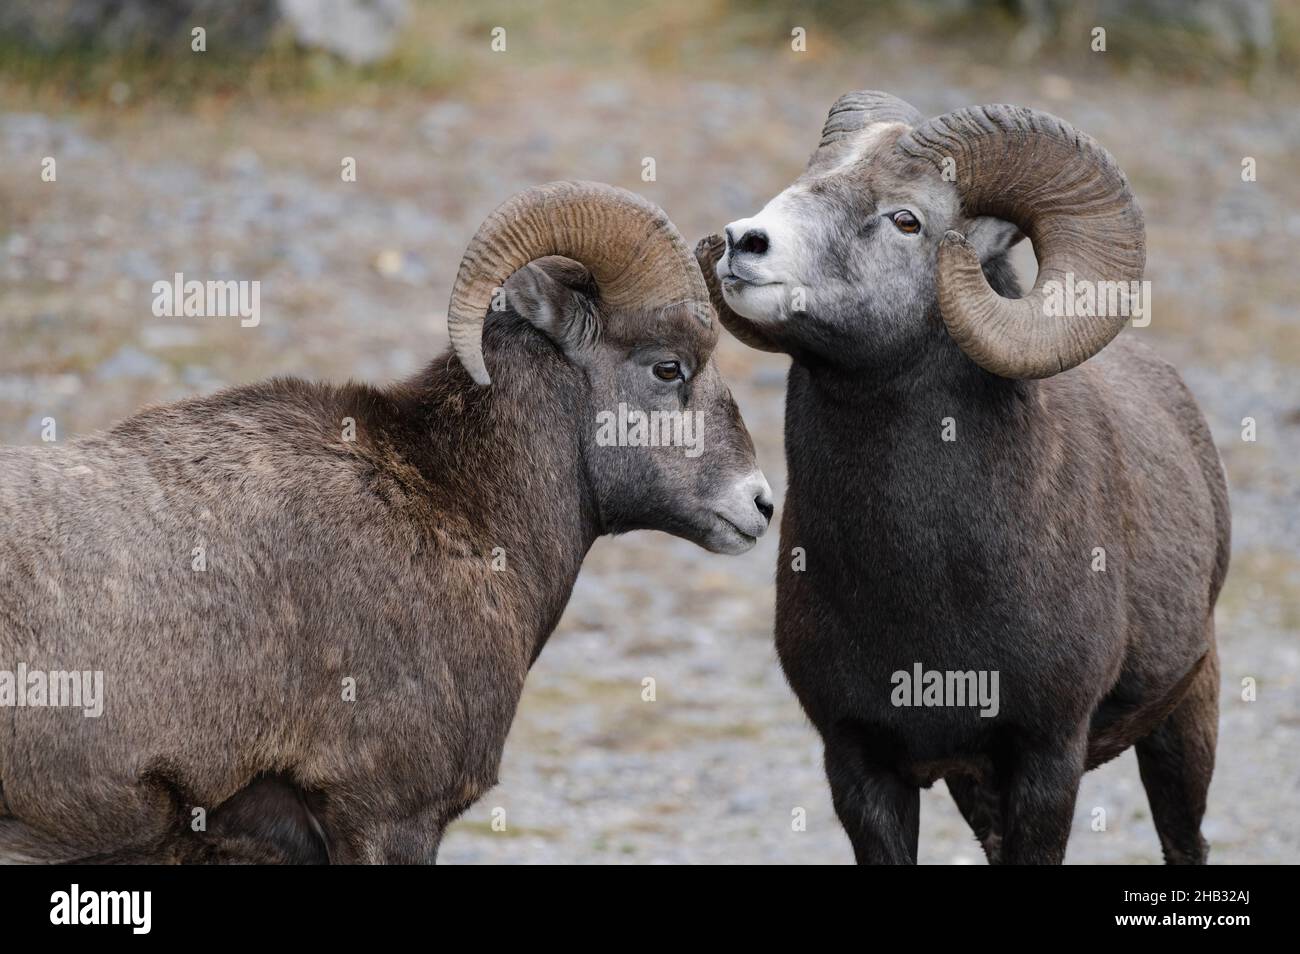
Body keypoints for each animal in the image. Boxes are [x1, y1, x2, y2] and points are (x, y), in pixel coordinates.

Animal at [697, 92, 1230, 865]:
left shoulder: (1046, 761)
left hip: (1185, 721)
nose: (745, 242)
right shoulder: (860, 766)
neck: (928, 585)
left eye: (907, 220)